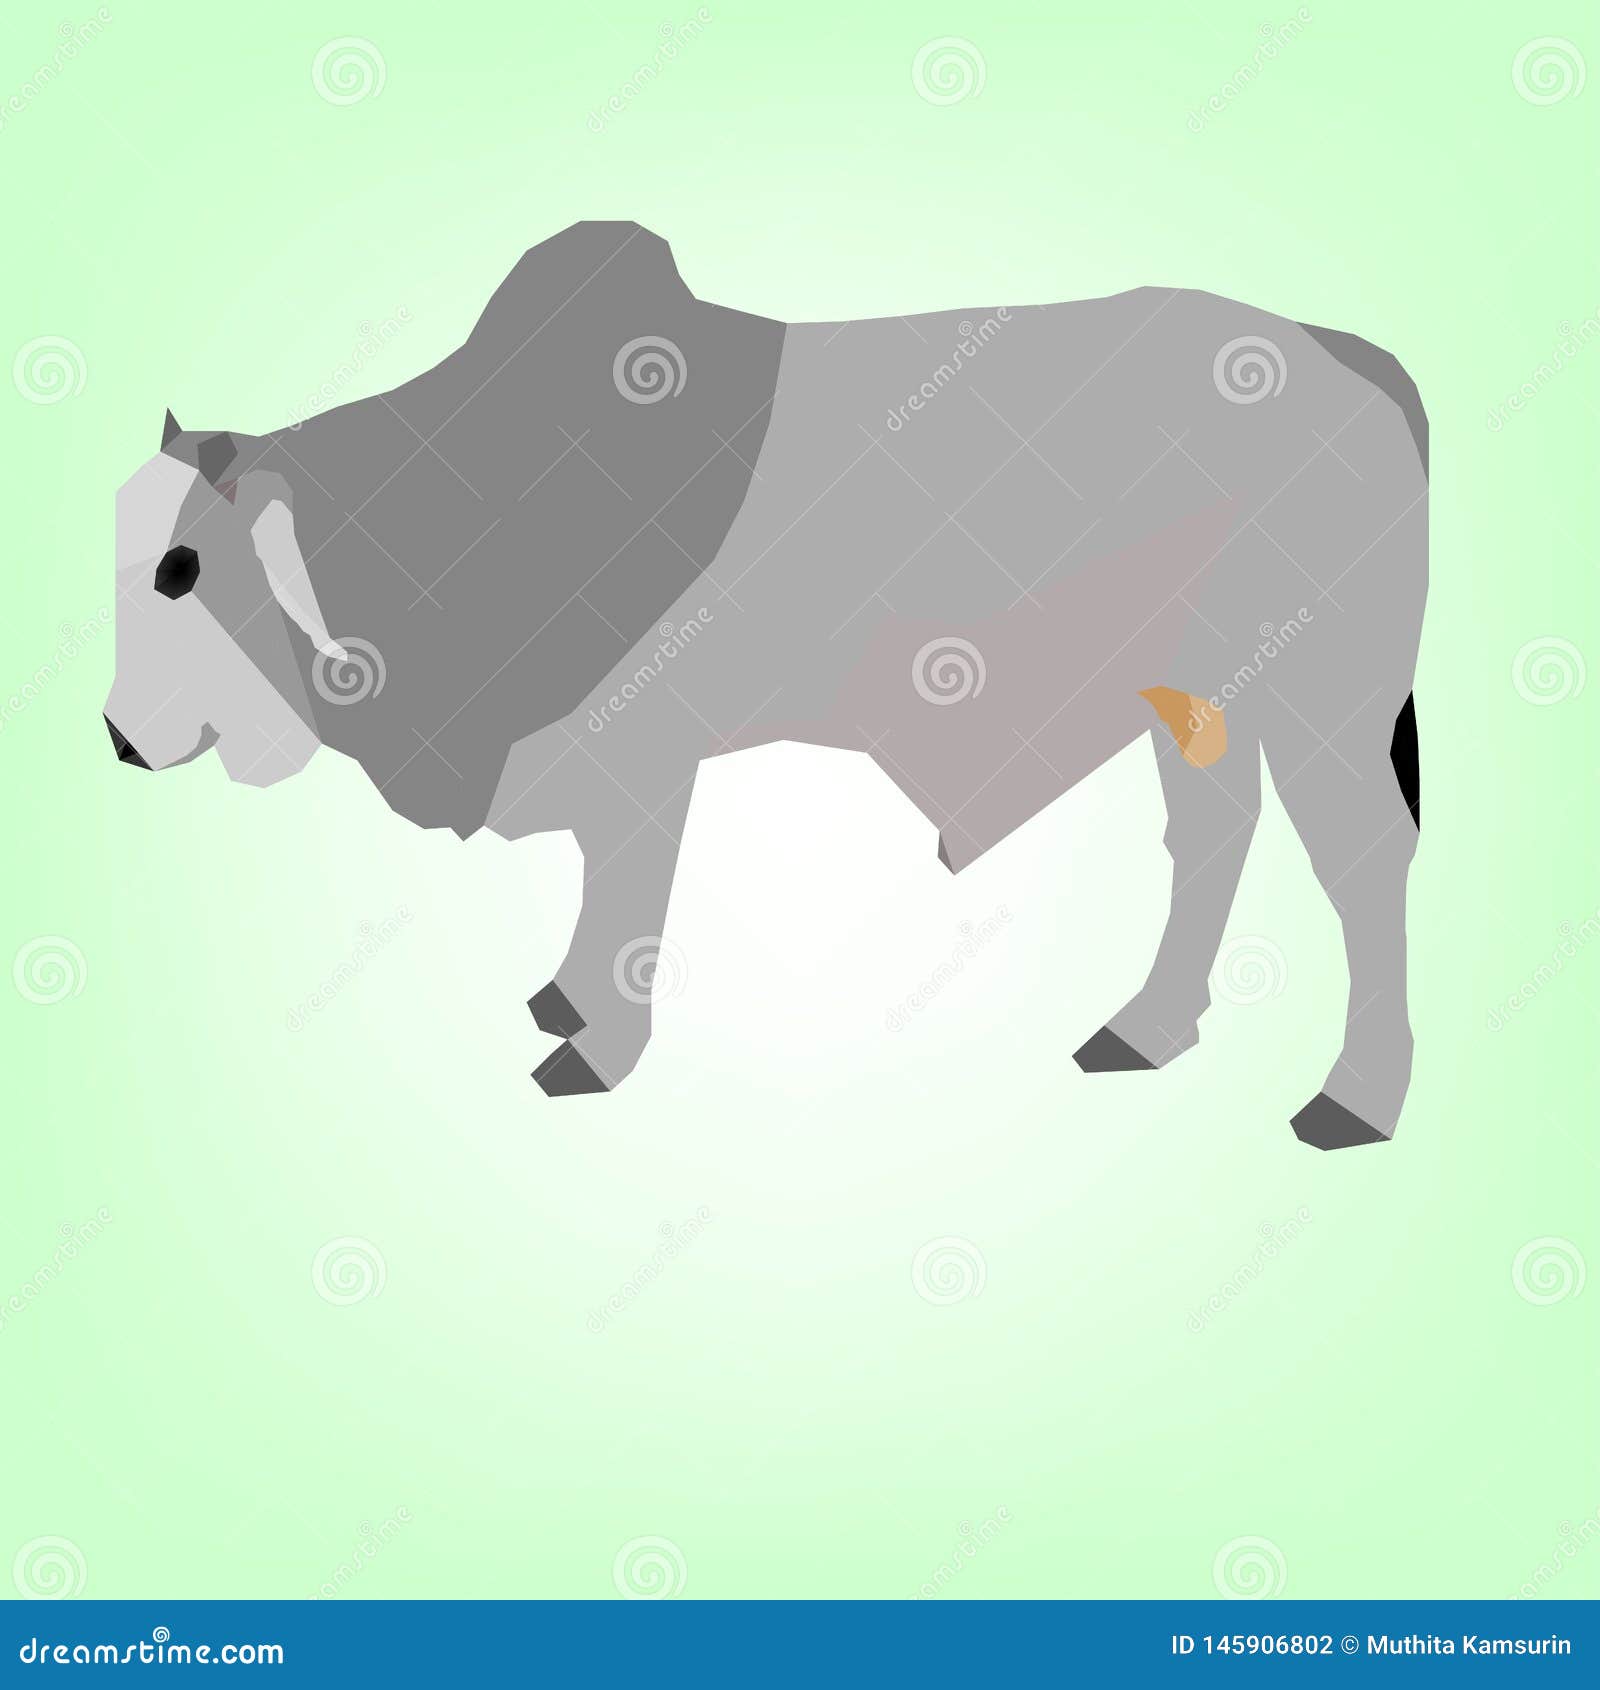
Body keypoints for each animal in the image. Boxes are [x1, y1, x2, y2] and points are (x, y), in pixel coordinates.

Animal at [106, 220, 1426, 1148]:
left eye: (182, 569)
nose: (119, 738)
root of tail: (1339, 353)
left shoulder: (643, 762)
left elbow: (628, 898)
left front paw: (598, 1046)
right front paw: (563, 998)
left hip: (1328, 704)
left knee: (1364, 867)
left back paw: (1355, 1100)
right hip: (1195, 701)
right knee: (1212, 832)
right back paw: (1146, 1029)